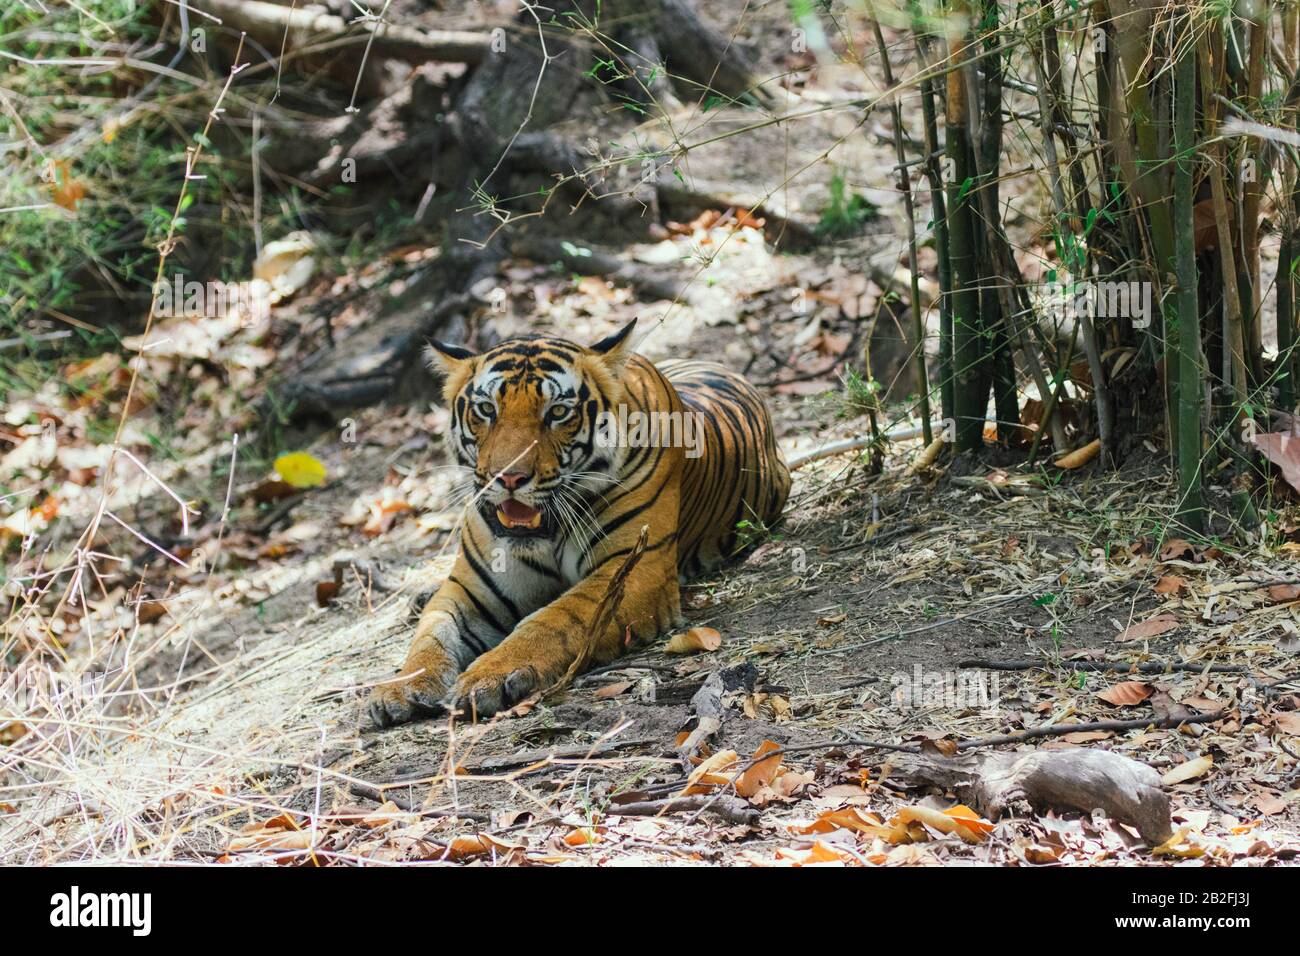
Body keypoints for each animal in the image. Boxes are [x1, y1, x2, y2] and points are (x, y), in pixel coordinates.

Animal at [368, 318, 790, 726]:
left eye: (557, 412)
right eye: (487, 409)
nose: (508, 477)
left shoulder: (632, 572)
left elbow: (554, 619)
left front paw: (489, 676)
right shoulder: (470, 591)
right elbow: (431, 634)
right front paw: (398, 688)